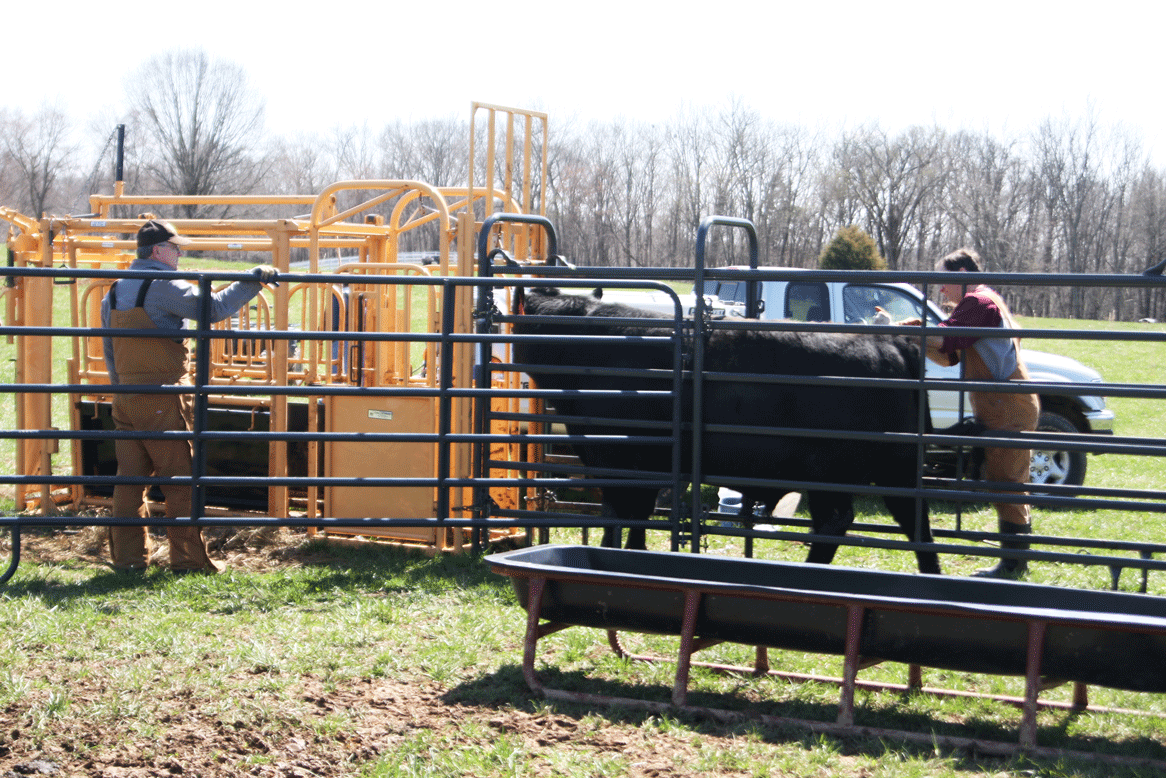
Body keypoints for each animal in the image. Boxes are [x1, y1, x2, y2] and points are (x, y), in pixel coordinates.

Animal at [512, 286, 941, 575]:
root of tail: (890, 341)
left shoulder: (624, 463)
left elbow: (624, 519)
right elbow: (630, 518)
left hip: (830, 471)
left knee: (836, 521)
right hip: (897, 469)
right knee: (915, 525)